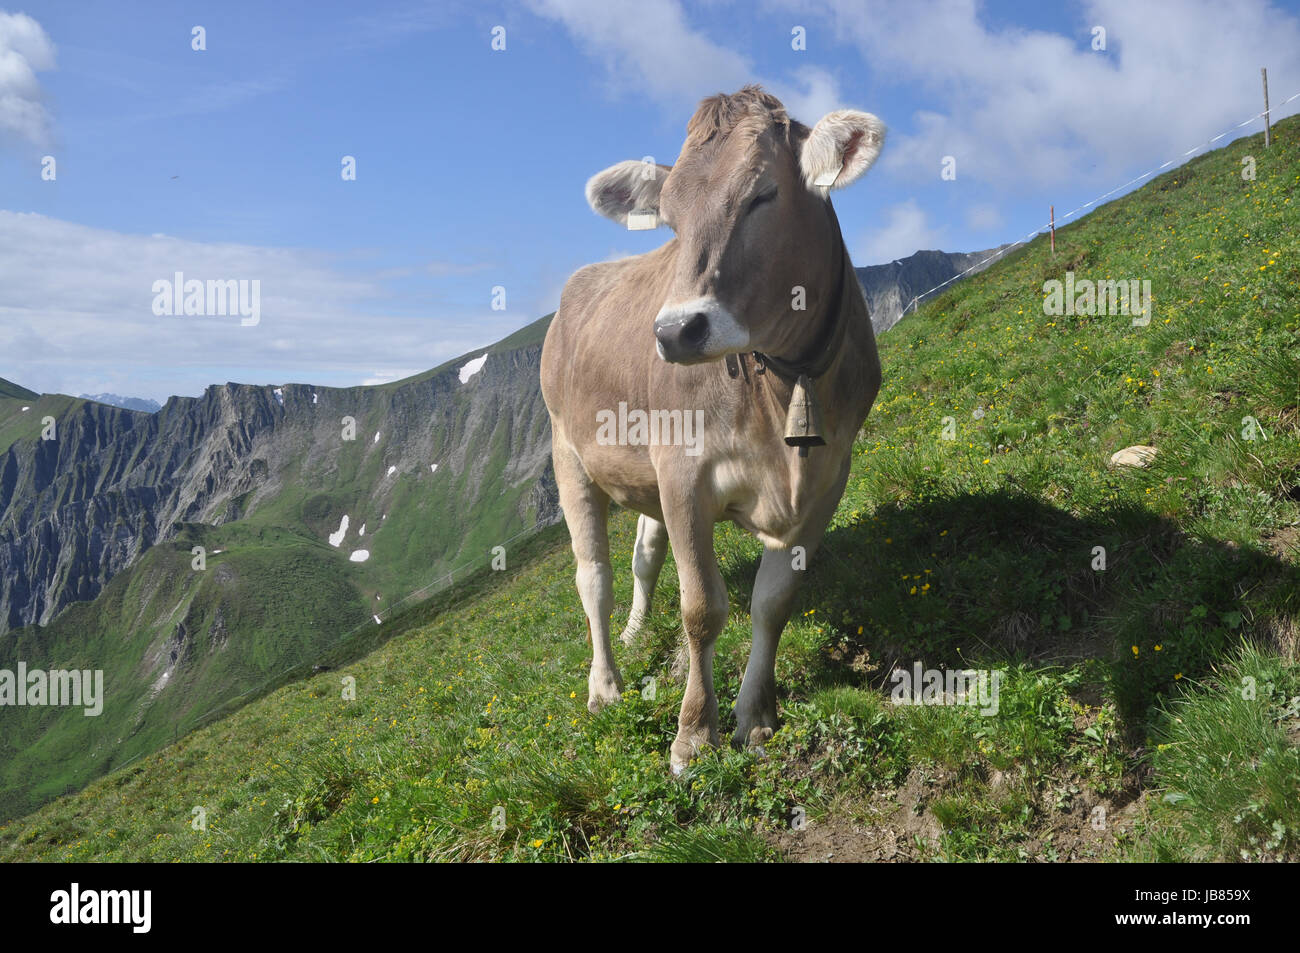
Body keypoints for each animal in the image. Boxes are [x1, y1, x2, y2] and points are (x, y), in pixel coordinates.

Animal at [540, 86, 884, 774]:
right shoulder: (684, 476)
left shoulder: (829, 480)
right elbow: (702, 608)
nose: (676, 331)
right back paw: (605, 685)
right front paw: (694, 736)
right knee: (594, 578)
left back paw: (636, 634)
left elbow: (772, 602)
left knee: (643, 559)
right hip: (569, 453)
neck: (784, 387)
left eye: (763, 194)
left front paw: (756, 715)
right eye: (671, 222)